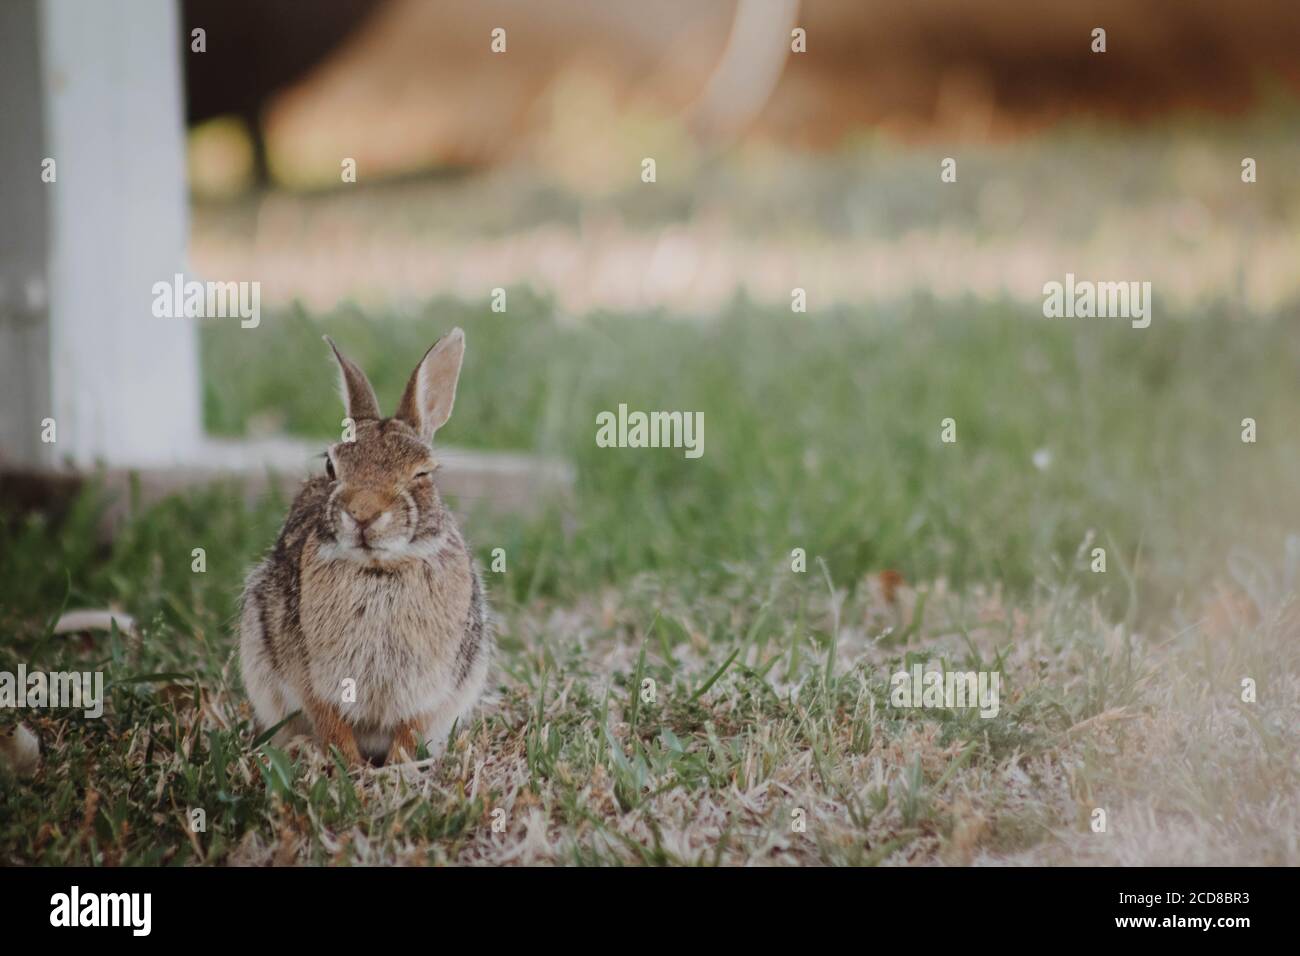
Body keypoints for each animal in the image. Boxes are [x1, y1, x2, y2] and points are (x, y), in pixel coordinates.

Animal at [239, 328, 491, 767]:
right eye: (330, 467)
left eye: (423, 473)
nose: (362, 513)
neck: (378, 568)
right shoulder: (311, 676)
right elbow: (330, 721)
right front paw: (349, 767)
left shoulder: (429, 687)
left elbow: (409, 729)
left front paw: (398, 767)